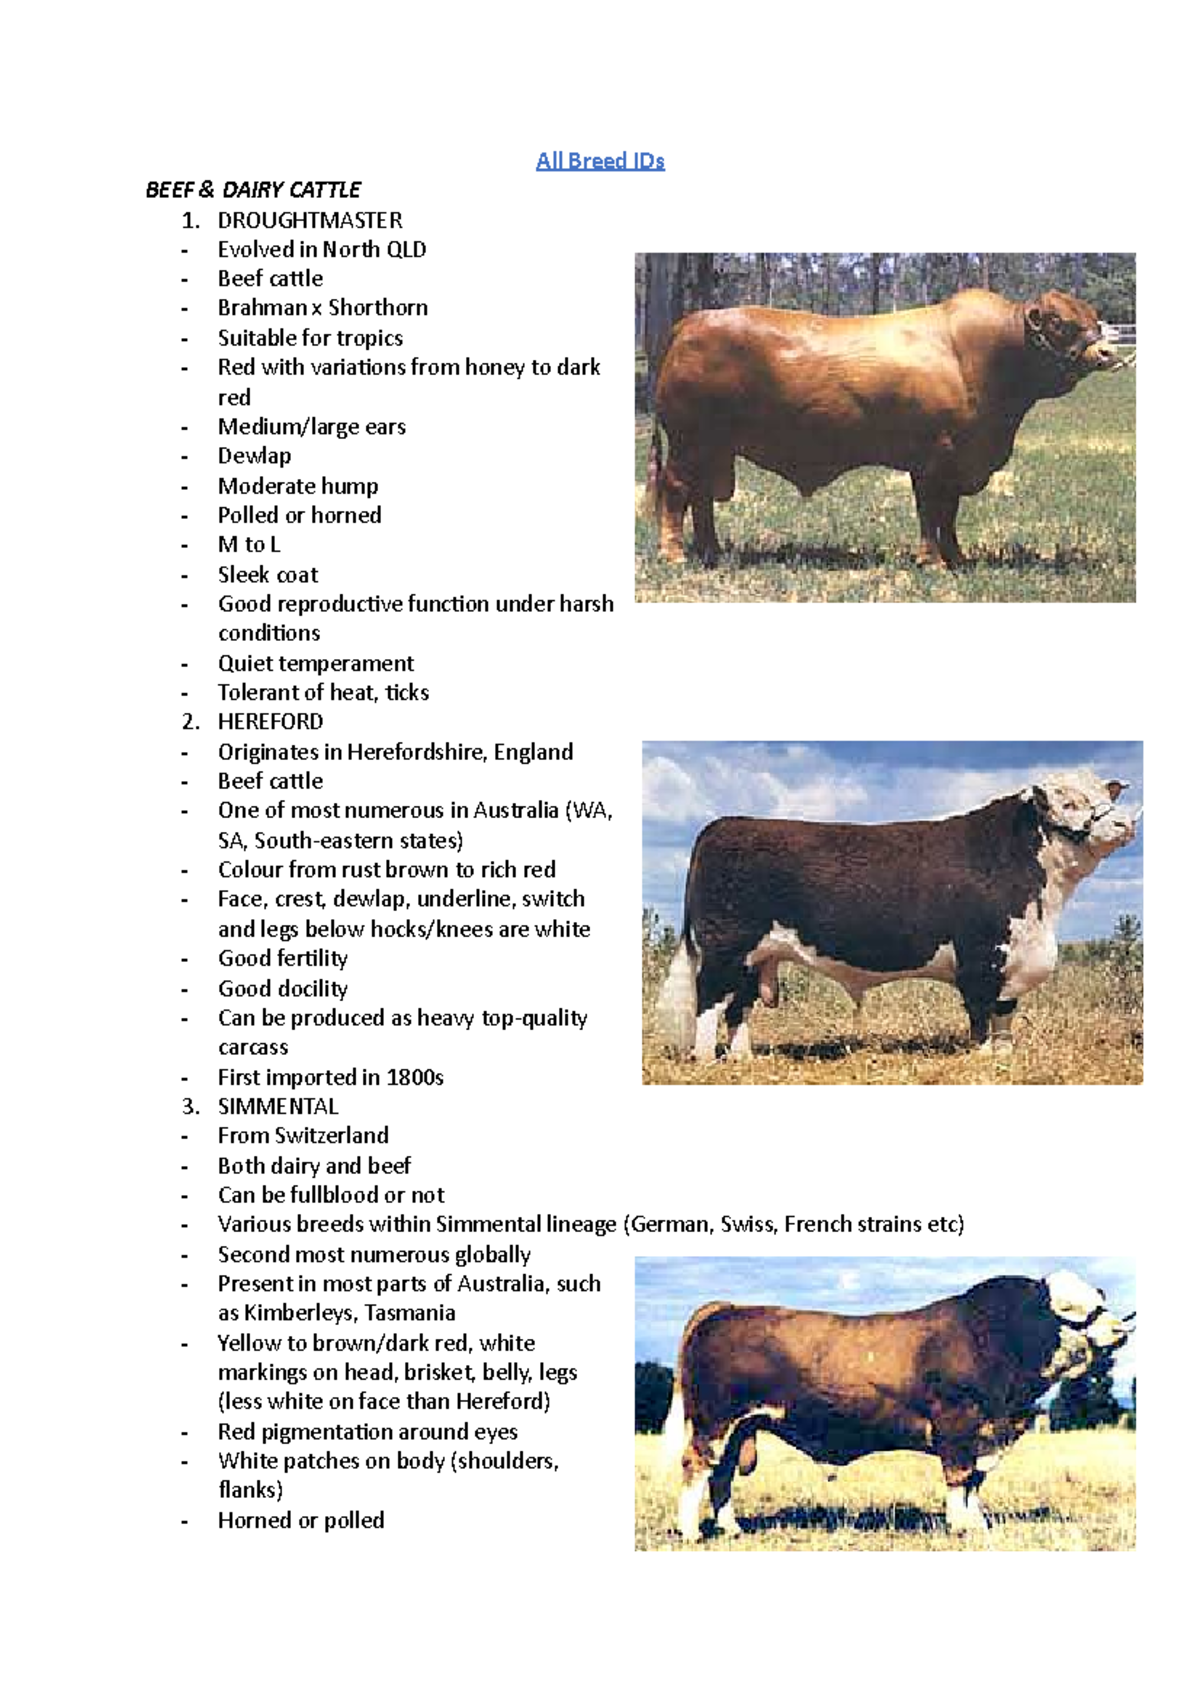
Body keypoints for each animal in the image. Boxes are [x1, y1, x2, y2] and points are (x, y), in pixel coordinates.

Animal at [645, 288, 1122, 567]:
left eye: (1093, 316)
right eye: (1059, 321)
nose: (1105, 354)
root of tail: (691, 321)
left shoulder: (951, 463)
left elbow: (948, 514)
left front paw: (957, 557)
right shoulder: (934, 459)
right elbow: (932, 511)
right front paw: (934, 561)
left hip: (712, 447)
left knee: (701, 496)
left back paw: (712, 551)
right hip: (689, 441)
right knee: (677, 490)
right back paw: (674, 554)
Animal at [655, 770, 1138, 1060]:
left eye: (1103, 796)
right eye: (1069, 803)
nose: (1125, 824)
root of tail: (722, 825)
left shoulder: (1015, 956)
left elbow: (1004, 1011)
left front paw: (1005, 1055)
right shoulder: (981, 957)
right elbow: (981, 1012)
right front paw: (983, 1056)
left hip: (755, 958)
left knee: (739, 1006)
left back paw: (744, 1059)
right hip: (724, 949)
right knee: (709, 1000)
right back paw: (706, 1060)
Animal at [663, 1271, 1132, 1541]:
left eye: (1101, 1301)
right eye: (1072, 1308)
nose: (1120, 1330)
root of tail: (727, 1308)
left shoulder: (985, 1434)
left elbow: (976, 1482)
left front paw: (978, 1523)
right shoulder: (956, 1427)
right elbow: (959, 1480)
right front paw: (959, 1525)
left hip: (740, 1427)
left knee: (721, 1477)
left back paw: (731, 1528)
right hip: (713, 1423)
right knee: (696, 1468)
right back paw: (691, 1532)